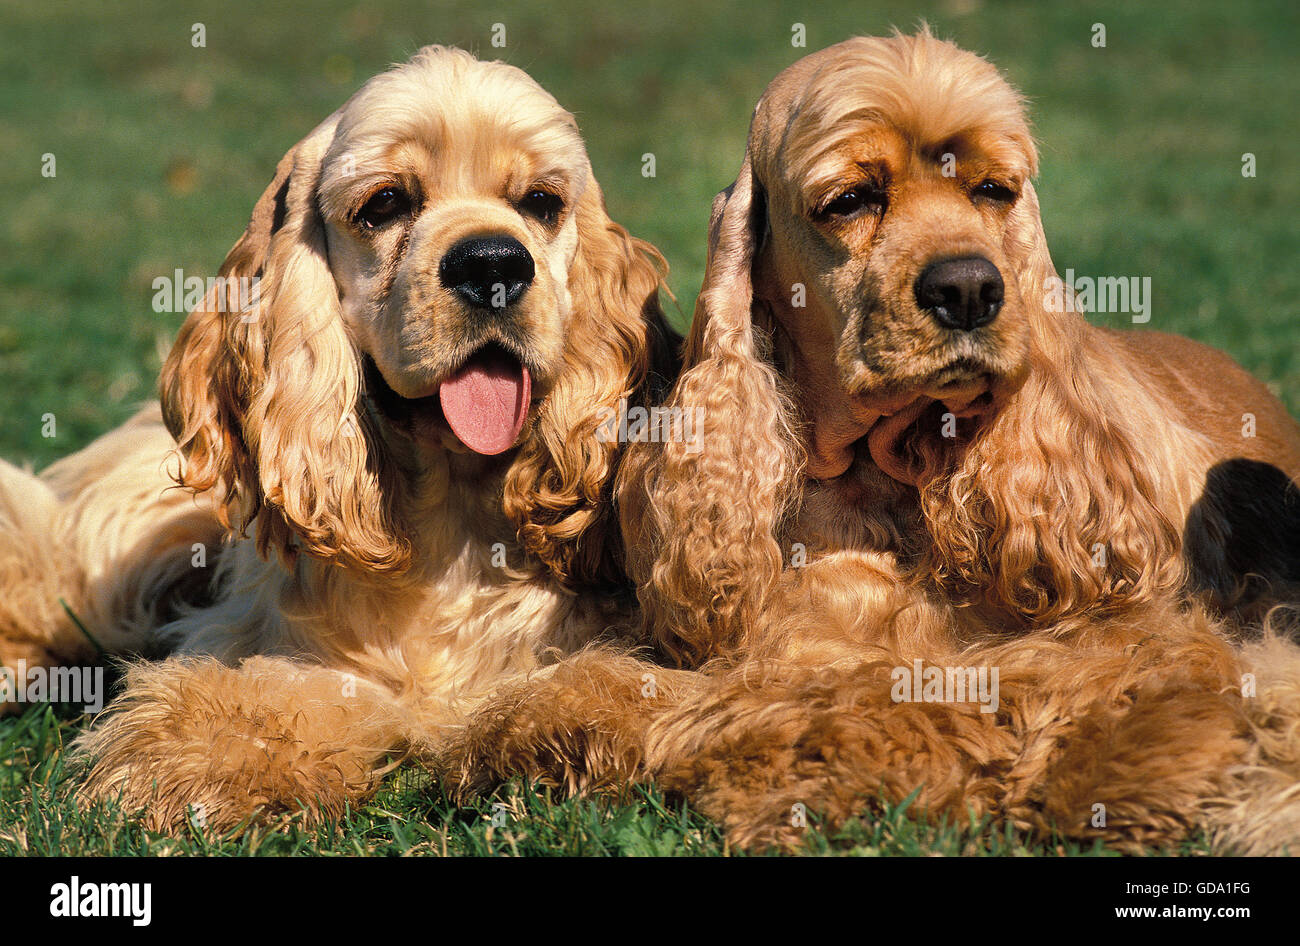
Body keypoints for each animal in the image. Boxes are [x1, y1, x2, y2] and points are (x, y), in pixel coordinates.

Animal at [2, 46, 681, 826]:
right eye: (384, 204)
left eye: (542, 203)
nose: (493, 264)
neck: (454, 523)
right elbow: (246, 704)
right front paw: (183, 771)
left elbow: (597, 682)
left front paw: (570, 734)